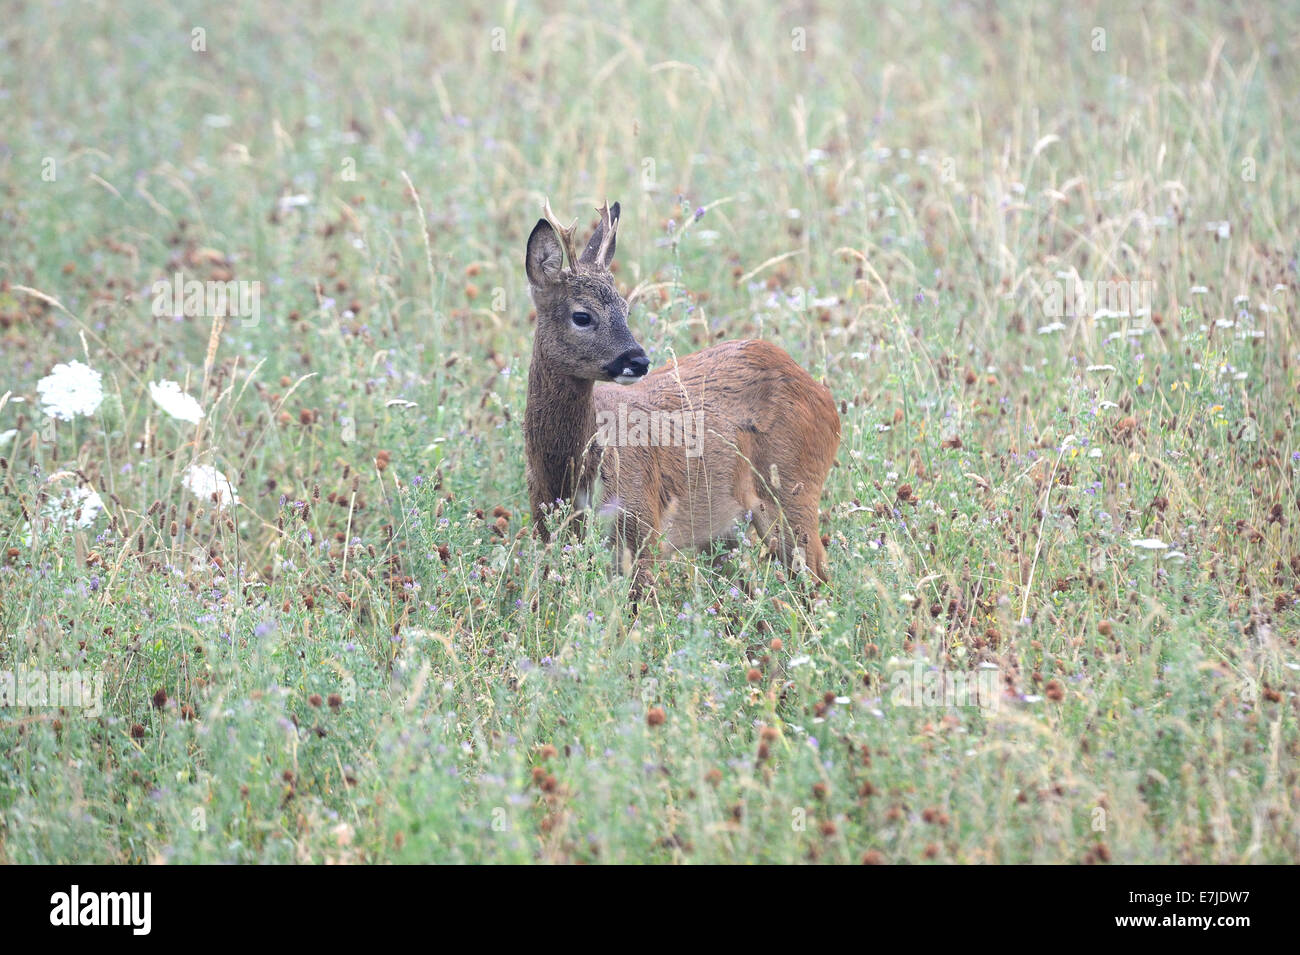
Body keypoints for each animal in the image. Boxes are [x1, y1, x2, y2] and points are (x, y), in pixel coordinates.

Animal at [523, 199, 840, 602]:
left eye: (626, 308)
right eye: (582, 315)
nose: (638, 359)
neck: (564, 474)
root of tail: (822, 394)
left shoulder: (639, 523)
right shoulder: (547, 530)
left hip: (793, 490)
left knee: (818, 579)